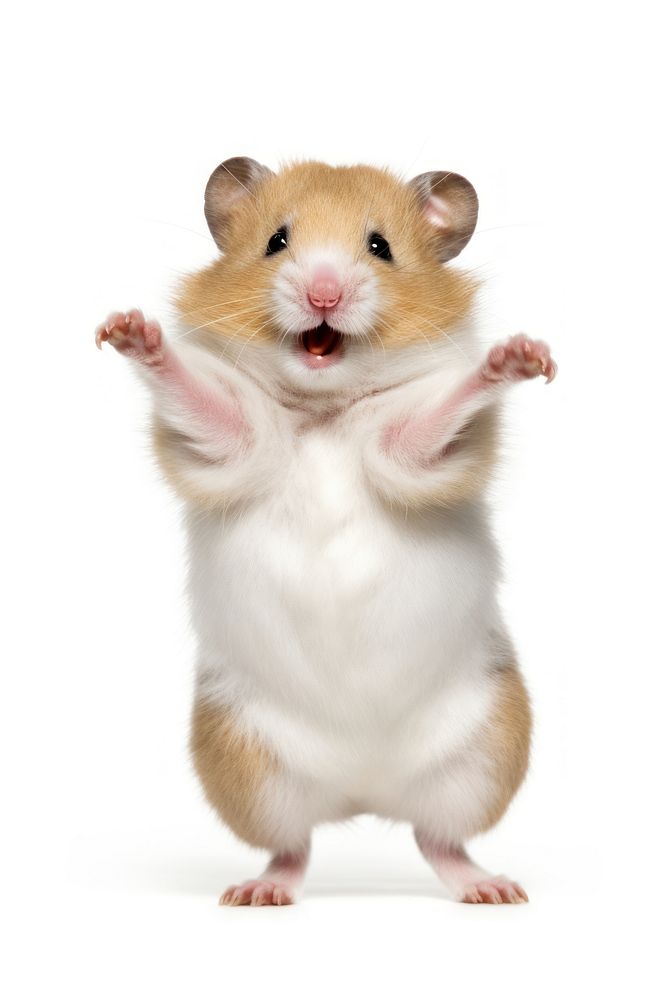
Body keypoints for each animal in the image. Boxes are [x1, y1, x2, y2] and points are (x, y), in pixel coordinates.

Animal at [96, 158, 556, 906]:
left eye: (380, 247)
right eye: (276, 242)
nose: (323, 292)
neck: (324, 410)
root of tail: (363, 793)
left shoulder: (409, 453)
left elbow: (433, 420)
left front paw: (522, 357)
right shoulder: (235, 442)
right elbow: (200, 398)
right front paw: (127, 329)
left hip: (486, 750)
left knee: (439, 840)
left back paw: (491, 891)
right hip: (245, 766)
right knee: (294, 847)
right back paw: (257, 894)